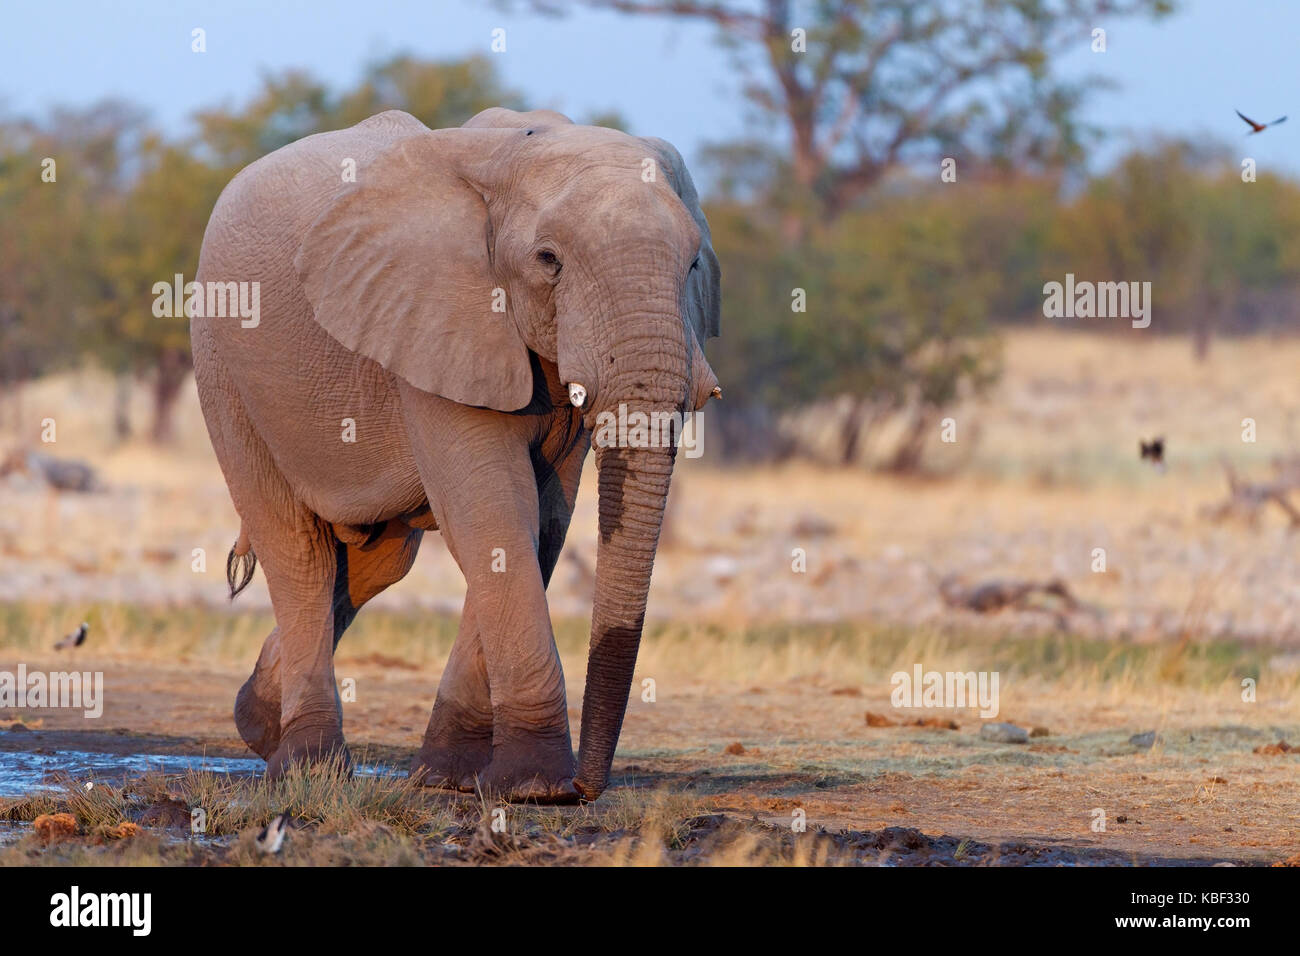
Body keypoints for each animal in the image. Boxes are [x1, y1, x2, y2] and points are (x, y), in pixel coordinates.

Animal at [190, 106, 721, 803]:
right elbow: (493, 511)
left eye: (694, 265)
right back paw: (307, 767)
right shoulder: (436, 317)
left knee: (375, 565)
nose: (587, 788)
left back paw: (259, 722)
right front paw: (534, 787)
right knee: (297, 549)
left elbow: (539, 523)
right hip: (222, 364)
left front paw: (453, 778)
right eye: (548, 260)